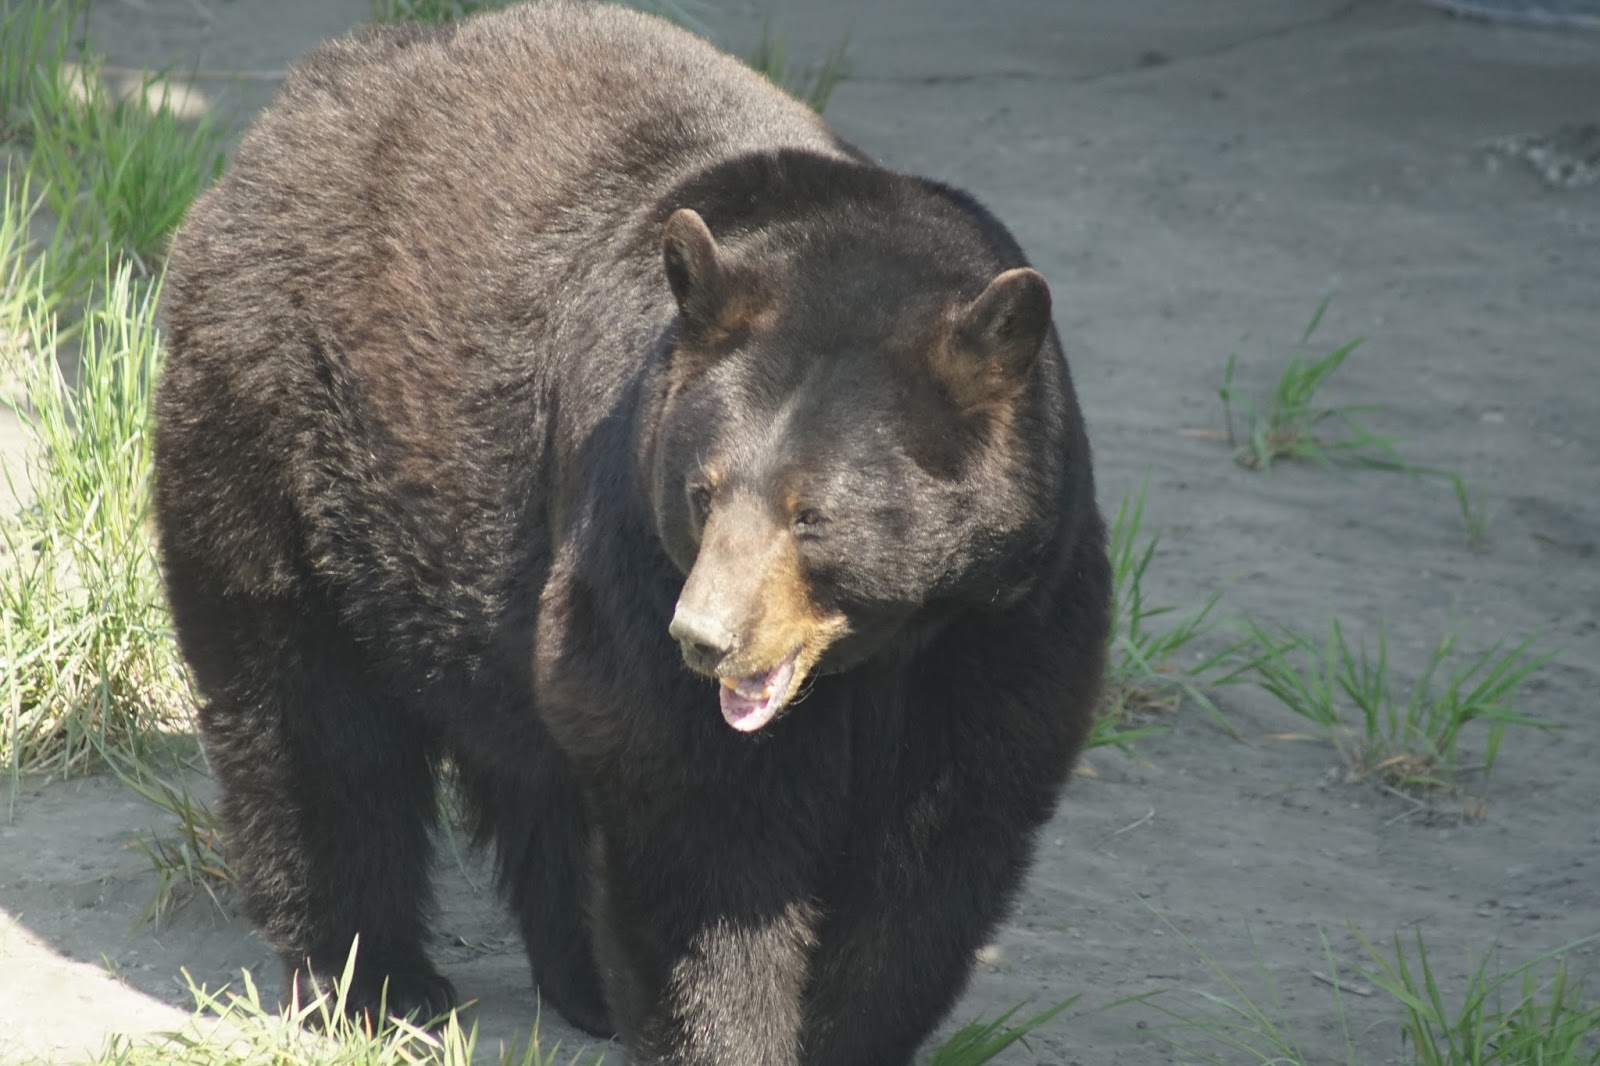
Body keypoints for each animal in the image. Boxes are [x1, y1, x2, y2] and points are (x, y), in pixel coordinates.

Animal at [151, 3, 1110, 1064]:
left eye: (813, 514)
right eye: (703, 492)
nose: (706, 638)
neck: (875, 656)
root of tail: (298, 102)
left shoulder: (1011, 609)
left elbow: (943, 843)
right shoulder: (632, 544)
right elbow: (698, 827)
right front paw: (728, 1029)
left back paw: (574, 979)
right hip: (288, 433)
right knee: (310, 714)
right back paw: (373, 979)